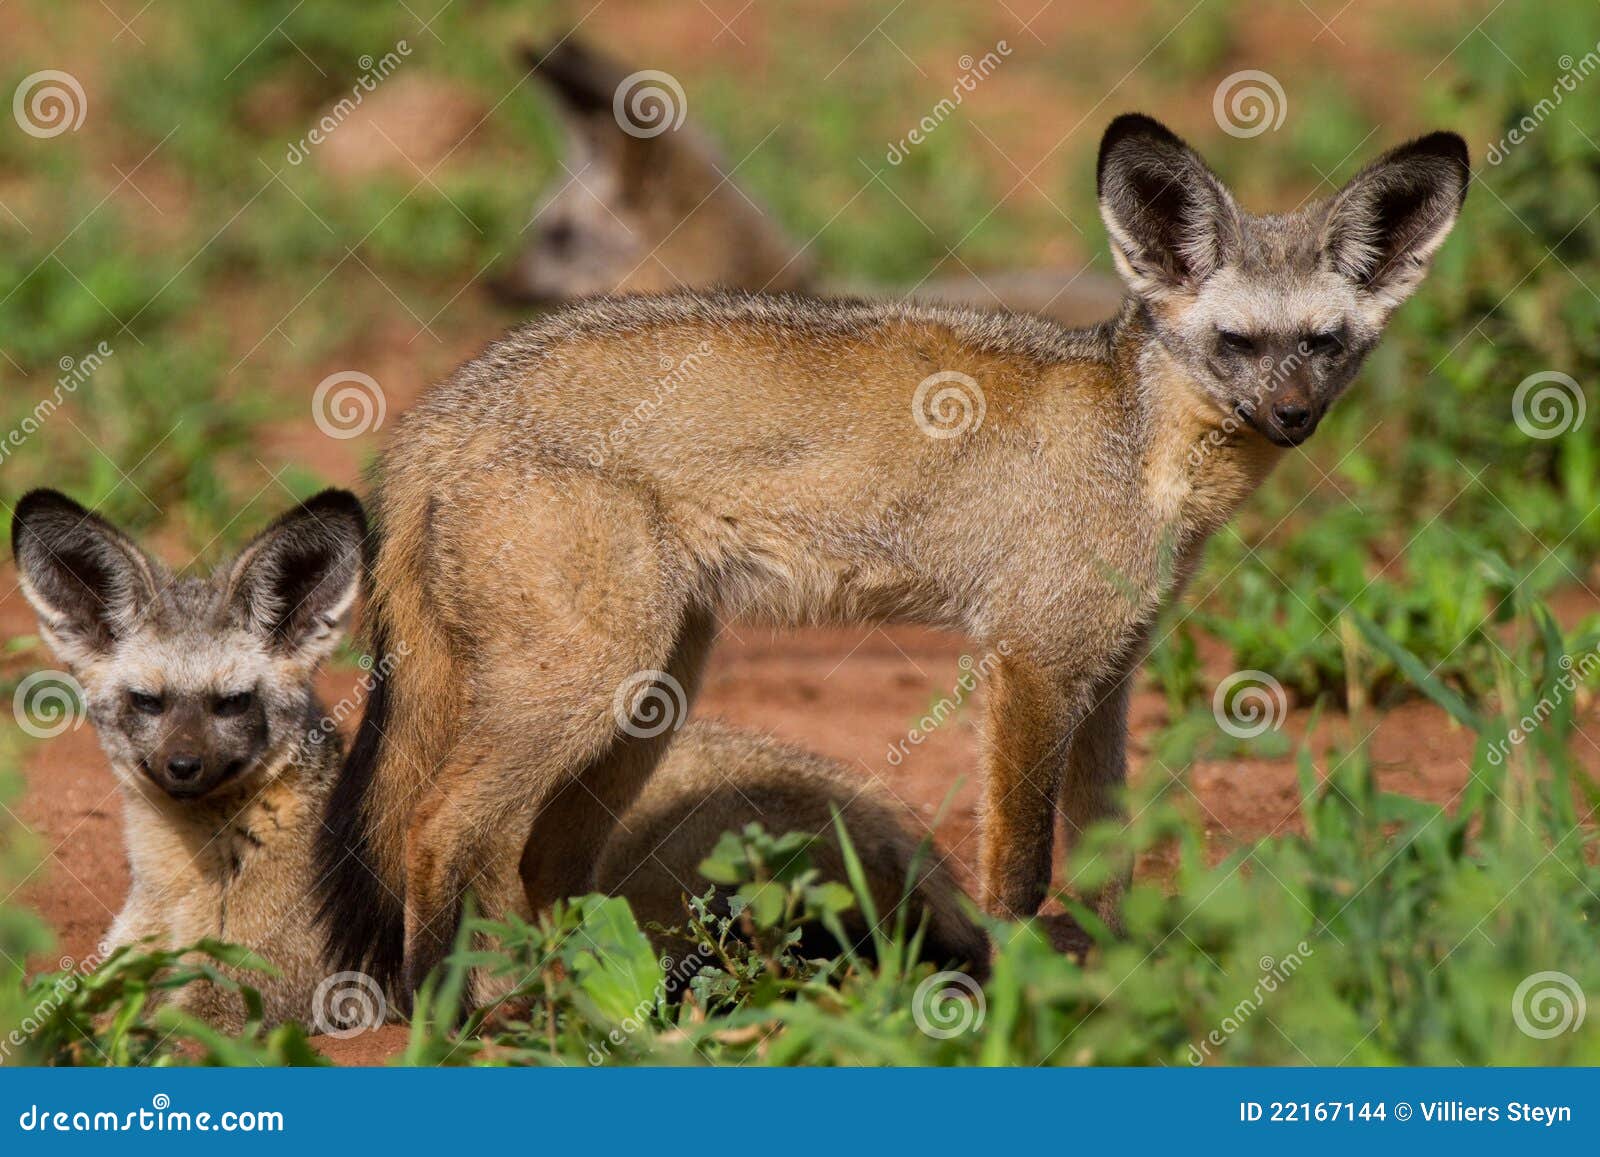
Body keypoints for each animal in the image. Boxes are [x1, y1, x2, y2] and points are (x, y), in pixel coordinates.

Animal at [11, 490, 984, 1030]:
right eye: (146, 701)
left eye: (232, 702)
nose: (181, 768)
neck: (191, 878)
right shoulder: (122, 962)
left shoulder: (273, 991)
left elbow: (151, 1030)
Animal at [319, 112, 1469, 997]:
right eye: (1237, 343)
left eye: (1322, 343)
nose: (1293, 417)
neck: (1134, 447)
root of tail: (438, 413)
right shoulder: (1030, 665)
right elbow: (1018, 874)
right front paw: (1015, 1002)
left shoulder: (1106, 679)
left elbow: (1107, 869)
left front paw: (1114, 984)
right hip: (588, 682)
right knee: (438, 828)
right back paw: (455, 1013)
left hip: (647, 698)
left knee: (542, 864)